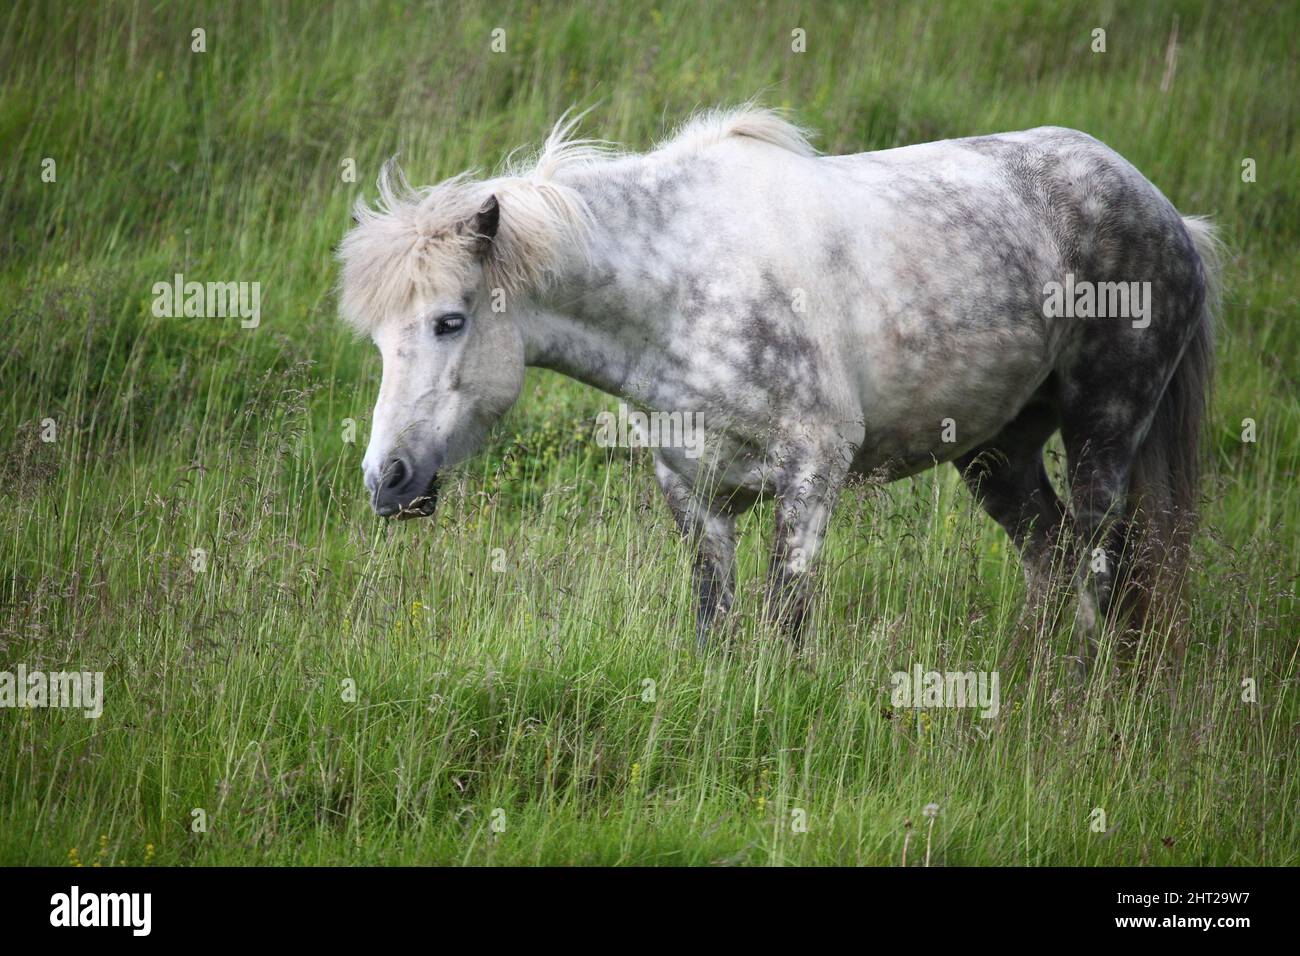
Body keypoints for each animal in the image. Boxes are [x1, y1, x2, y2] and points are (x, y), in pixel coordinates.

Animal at [337, 105, 1219, 670]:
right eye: (379, 340)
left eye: (450, 321)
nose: (387, 482)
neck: (683, 289)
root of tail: (1171, 216)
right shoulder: (695, 492)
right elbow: (715, 626)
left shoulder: (812, 472)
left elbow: (786, 621)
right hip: (996, 451)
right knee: (1052, 554)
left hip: (1104, 431)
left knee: (1100, 562)